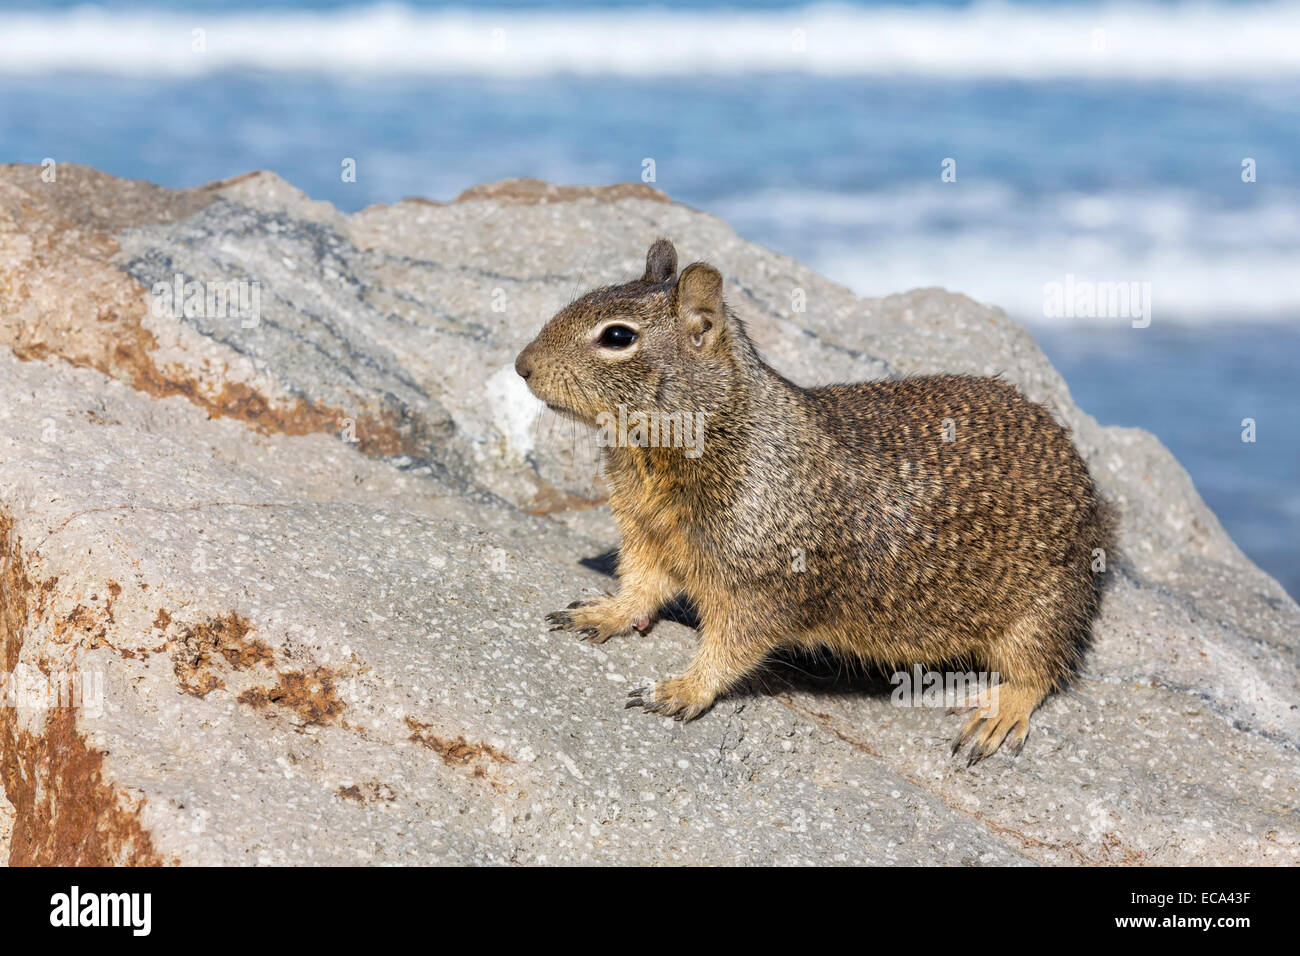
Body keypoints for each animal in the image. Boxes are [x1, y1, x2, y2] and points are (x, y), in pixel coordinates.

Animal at [515, 239, 1115, 763]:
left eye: (617, 337)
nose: (522, 365)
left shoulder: (758, 585)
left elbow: (731, 646)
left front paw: (682, 690)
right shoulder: (646, 534)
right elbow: (640, 587)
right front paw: (605, 612)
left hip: (1043, 608)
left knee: (1040, 670)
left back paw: (997, 715)